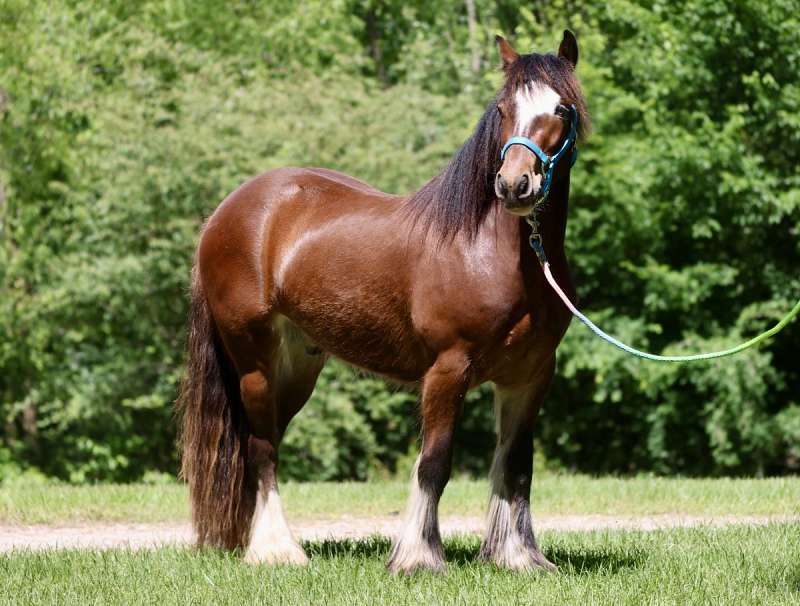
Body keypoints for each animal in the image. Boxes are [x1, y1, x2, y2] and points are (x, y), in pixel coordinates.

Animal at [178, 30, 589, 574]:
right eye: (502, 109)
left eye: (561, 109)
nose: (514, 185)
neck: (494, 254)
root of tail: (225, 213)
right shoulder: (447, 370)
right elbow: (433, 464)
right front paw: (418, 558)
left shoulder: (530, 376)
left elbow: (516, 465)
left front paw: (517, 556)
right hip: (253, 364)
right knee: (262, 449)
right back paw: (278, 551)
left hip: (296, 368)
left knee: (260, 444)